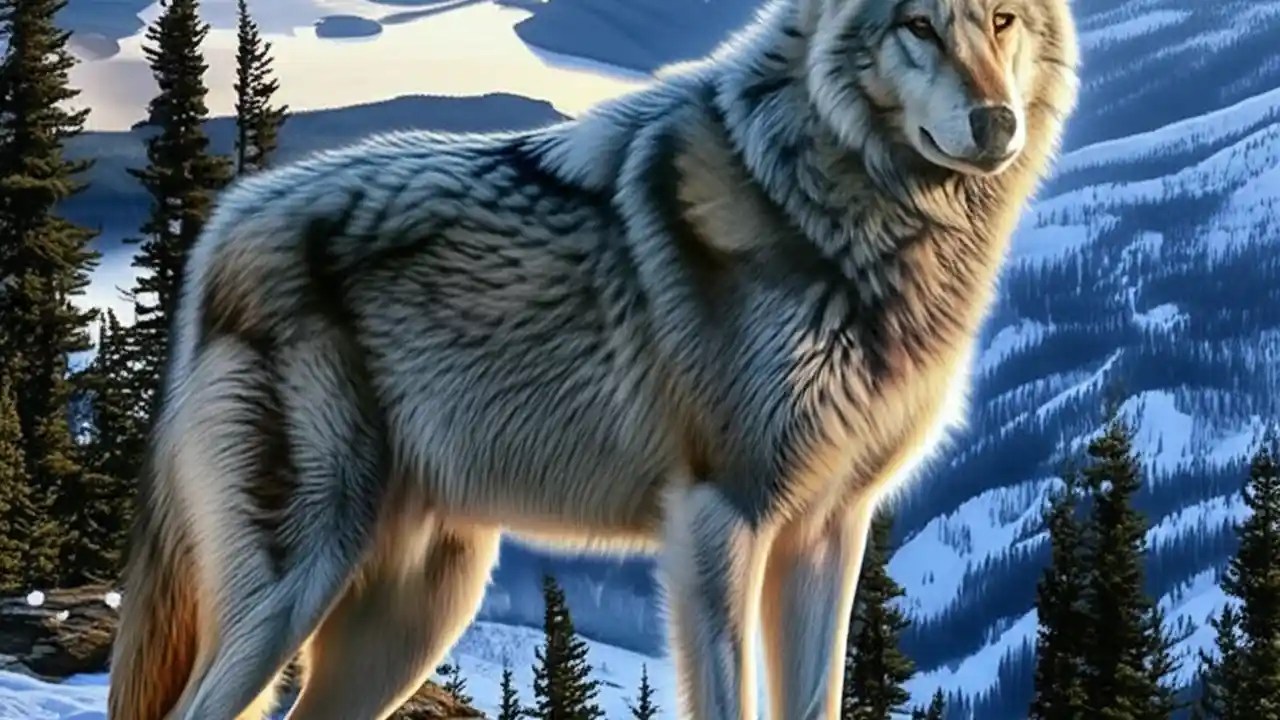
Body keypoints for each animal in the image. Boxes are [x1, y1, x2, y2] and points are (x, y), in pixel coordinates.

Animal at [107, 0, 1078, 717]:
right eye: (917, 25)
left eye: (1001, 20)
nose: (996, 121)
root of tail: (223, 228)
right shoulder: (721, 519)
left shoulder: (828, 530)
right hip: (297, 587)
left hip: (417, 616)